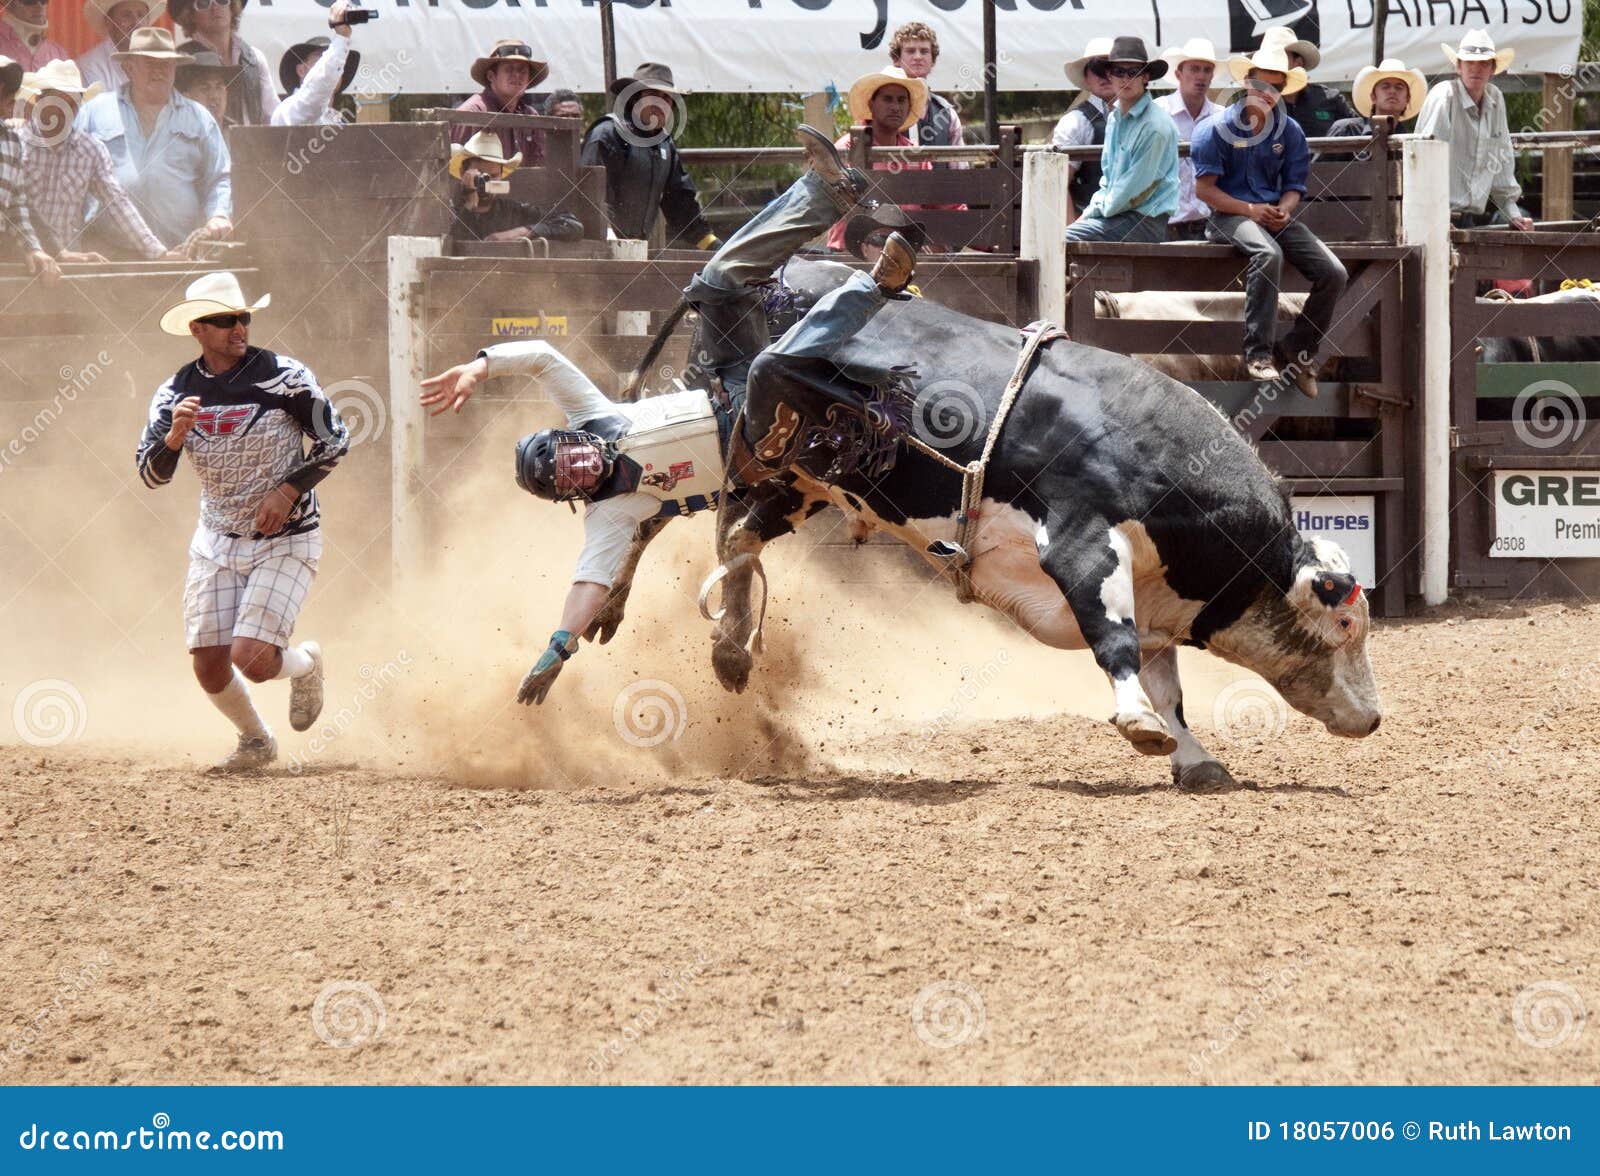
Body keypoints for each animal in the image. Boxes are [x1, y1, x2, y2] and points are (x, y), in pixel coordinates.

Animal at [700, 258, 1381, 789]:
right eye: (1346, 623)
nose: (1374, 718)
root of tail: (784, 277)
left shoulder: (1156, 601)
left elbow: (1170, 689)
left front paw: (1195, 759)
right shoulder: (1084, 546)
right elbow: (1115, 643)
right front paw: (1139, 723)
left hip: (809, 480)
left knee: (739, 539)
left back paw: (731, 652)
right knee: (738, 513)